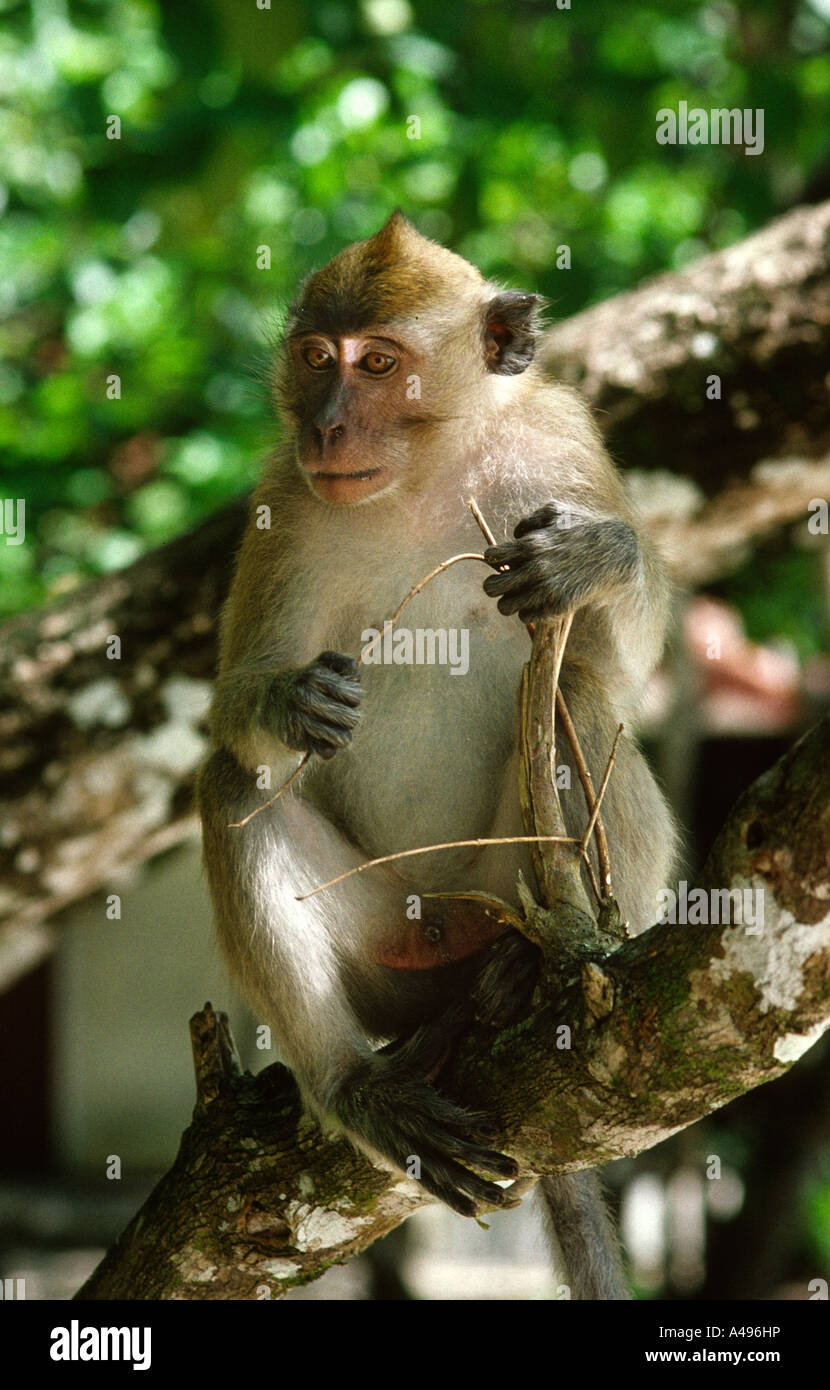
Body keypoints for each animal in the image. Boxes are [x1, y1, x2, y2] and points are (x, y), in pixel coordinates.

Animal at [197, 211, 677, 1300]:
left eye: (378, 363)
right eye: (315, 359)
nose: (327, 426)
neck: (429, 474)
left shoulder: (564, 447)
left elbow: (624, 675)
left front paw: (595, 558)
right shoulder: (284, 498)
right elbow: (236, 717)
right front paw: (291, 702)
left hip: (499, 881)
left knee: (577, 700)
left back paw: (536, 963)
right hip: (387, 942)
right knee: (233, 784)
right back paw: (354, 1084)